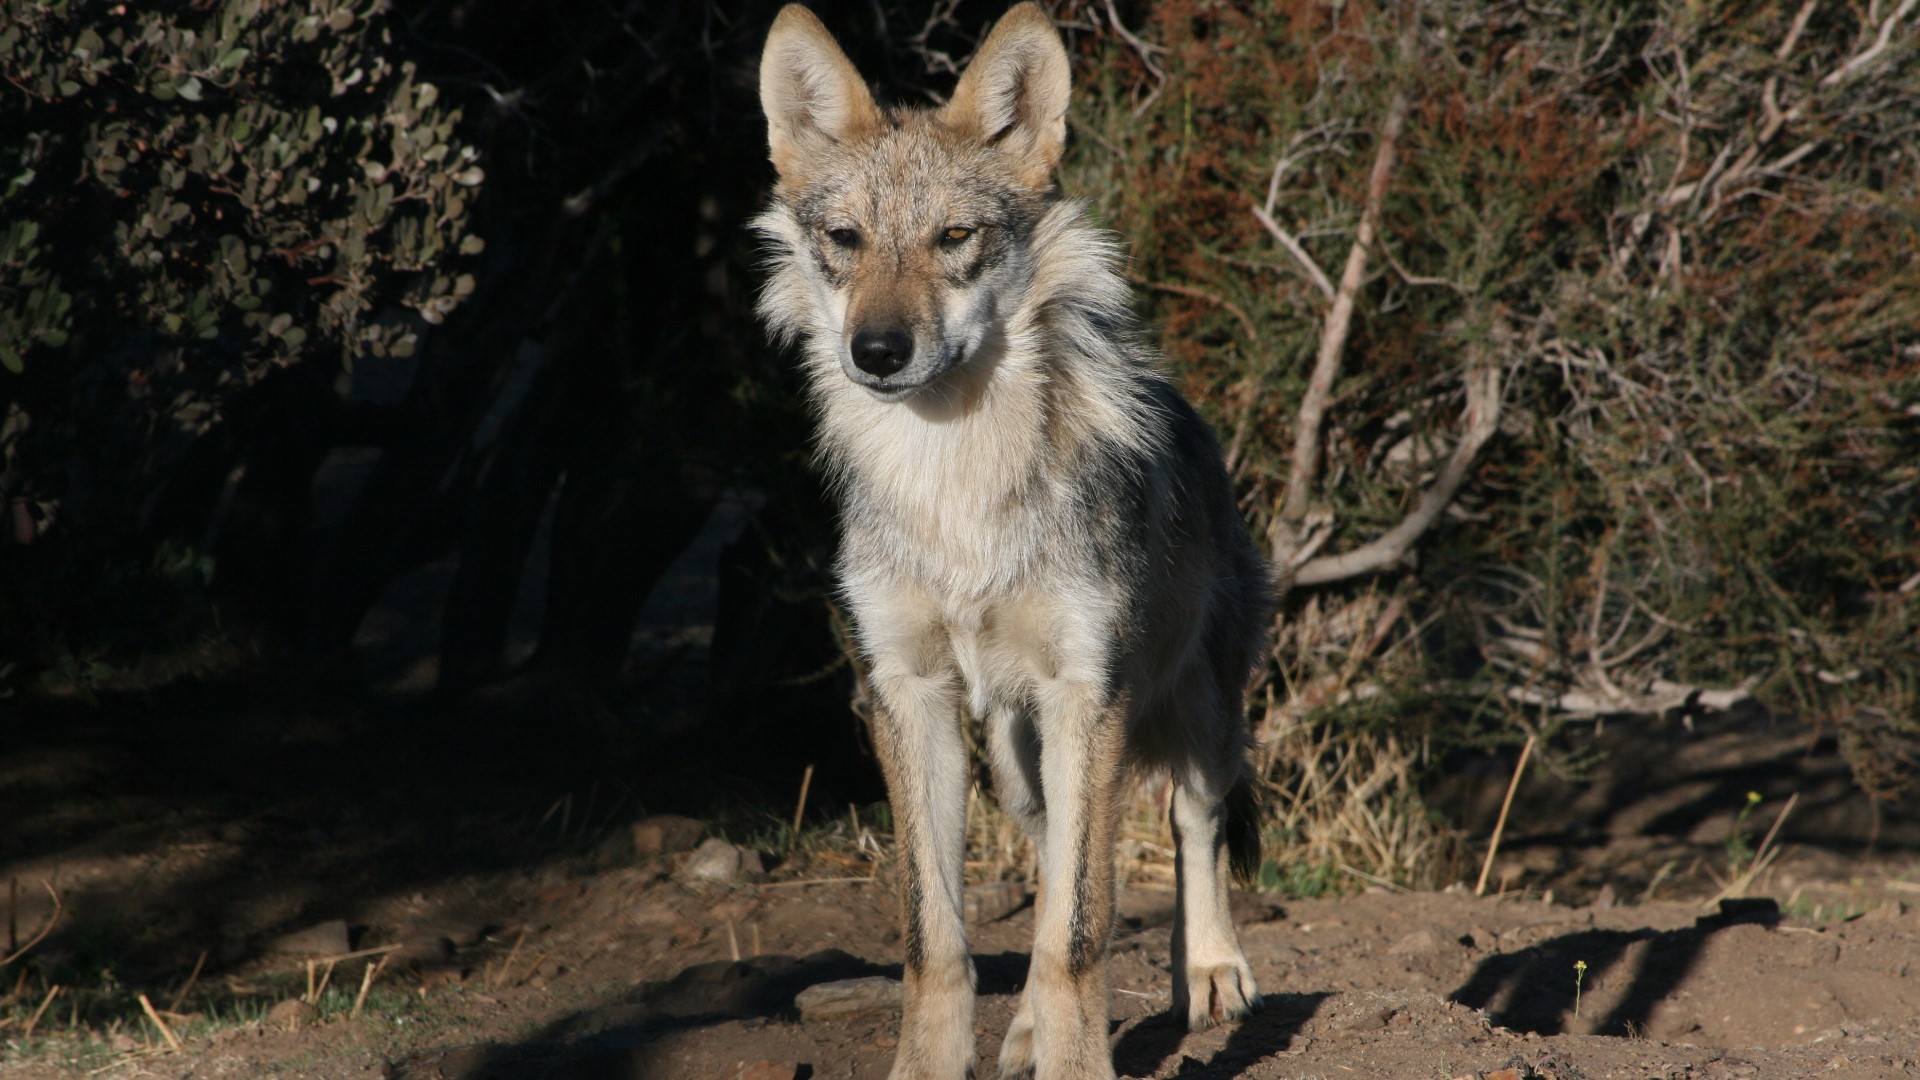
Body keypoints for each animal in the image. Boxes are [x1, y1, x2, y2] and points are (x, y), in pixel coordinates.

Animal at [753, 5, 1272, 1077]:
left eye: (955, 237)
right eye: (845, 239)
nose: (878, 352)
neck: (954, 487)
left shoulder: (1089, 691)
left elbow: (1081, 925)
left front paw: (1081, 1063)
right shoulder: (906, 692)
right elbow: (935, 935)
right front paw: (933, 1064)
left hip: (1195, 709)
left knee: (1189, 822)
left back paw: (1209, 973)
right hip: (1017, 750)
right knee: (1047, 858)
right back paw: (1029, 1029)